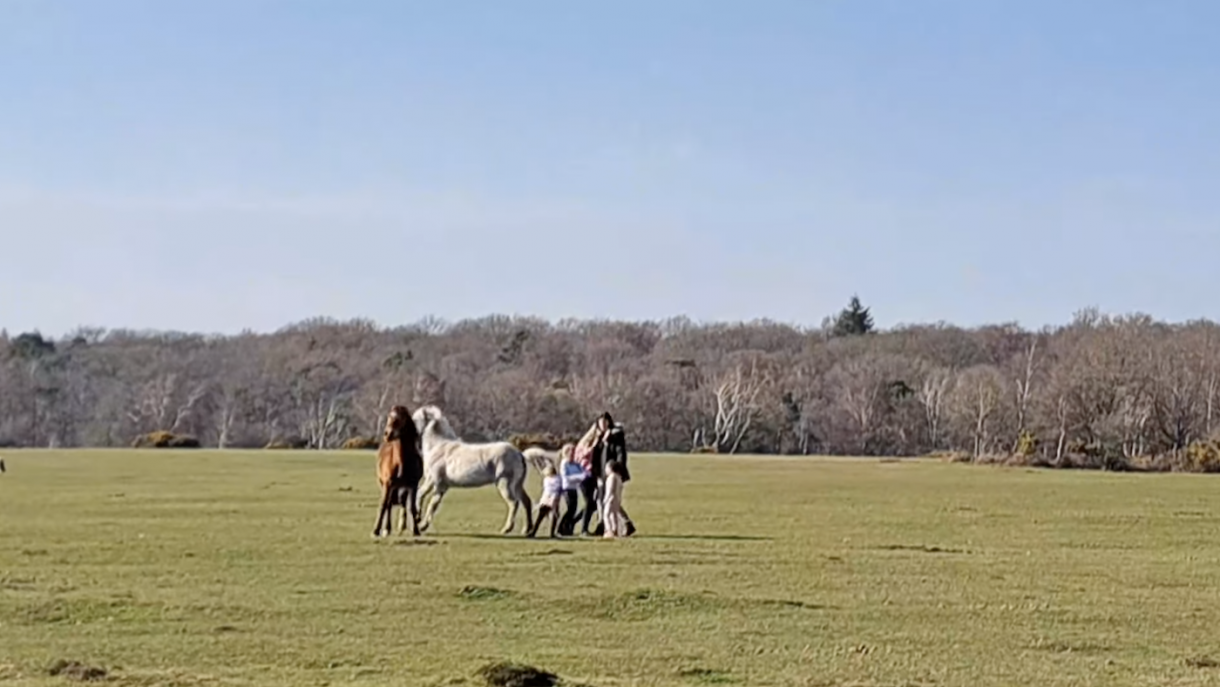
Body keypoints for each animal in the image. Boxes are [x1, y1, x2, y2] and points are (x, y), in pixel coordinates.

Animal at [371, 404, 425, 538]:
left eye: (401, 418)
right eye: (389, 417)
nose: (387, 434)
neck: (401, 463)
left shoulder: (412, 485)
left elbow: (412, 507)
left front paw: (416, 530)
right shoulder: (387, 484)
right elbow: (384, 504)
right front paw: (376, 530)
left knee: (400, 503)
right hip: (387, 485)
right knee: (389, 504)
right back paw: (386, 528)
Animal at [411, 405, 547, 535]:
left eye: (414, 419)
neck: (437, 447)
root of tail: (519, 454)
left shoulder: (432, 481)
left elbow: (420, 494)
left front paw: (418, 517)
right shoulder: (442, 486)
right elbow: (433, 505)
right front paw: (423, 525)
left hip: (504, 484)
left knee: (514, 503)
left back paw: (506, 529)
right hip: (518, 485)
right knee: (526, 502)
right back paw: (527, 529)